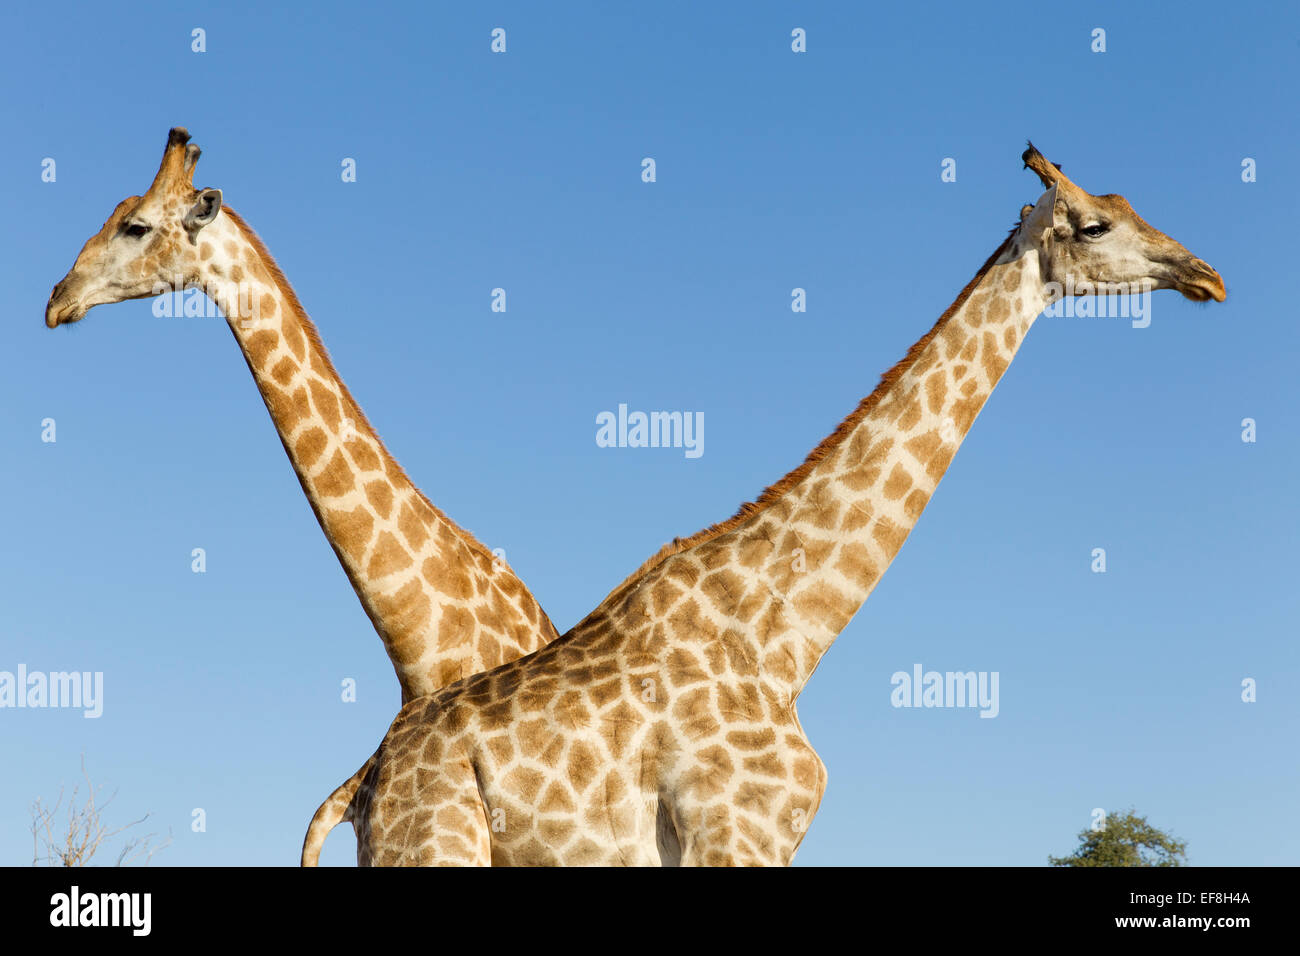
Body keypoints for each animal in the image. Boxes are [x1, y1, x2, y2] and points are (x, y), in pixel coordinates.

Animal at [304, 143, 1225, 866]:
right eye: (1095, 225)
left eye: (1128, 204)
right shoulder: (732, 832)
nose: (1207, 275)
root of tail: (360, 784)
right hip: (436, 845)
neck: (788, 632)